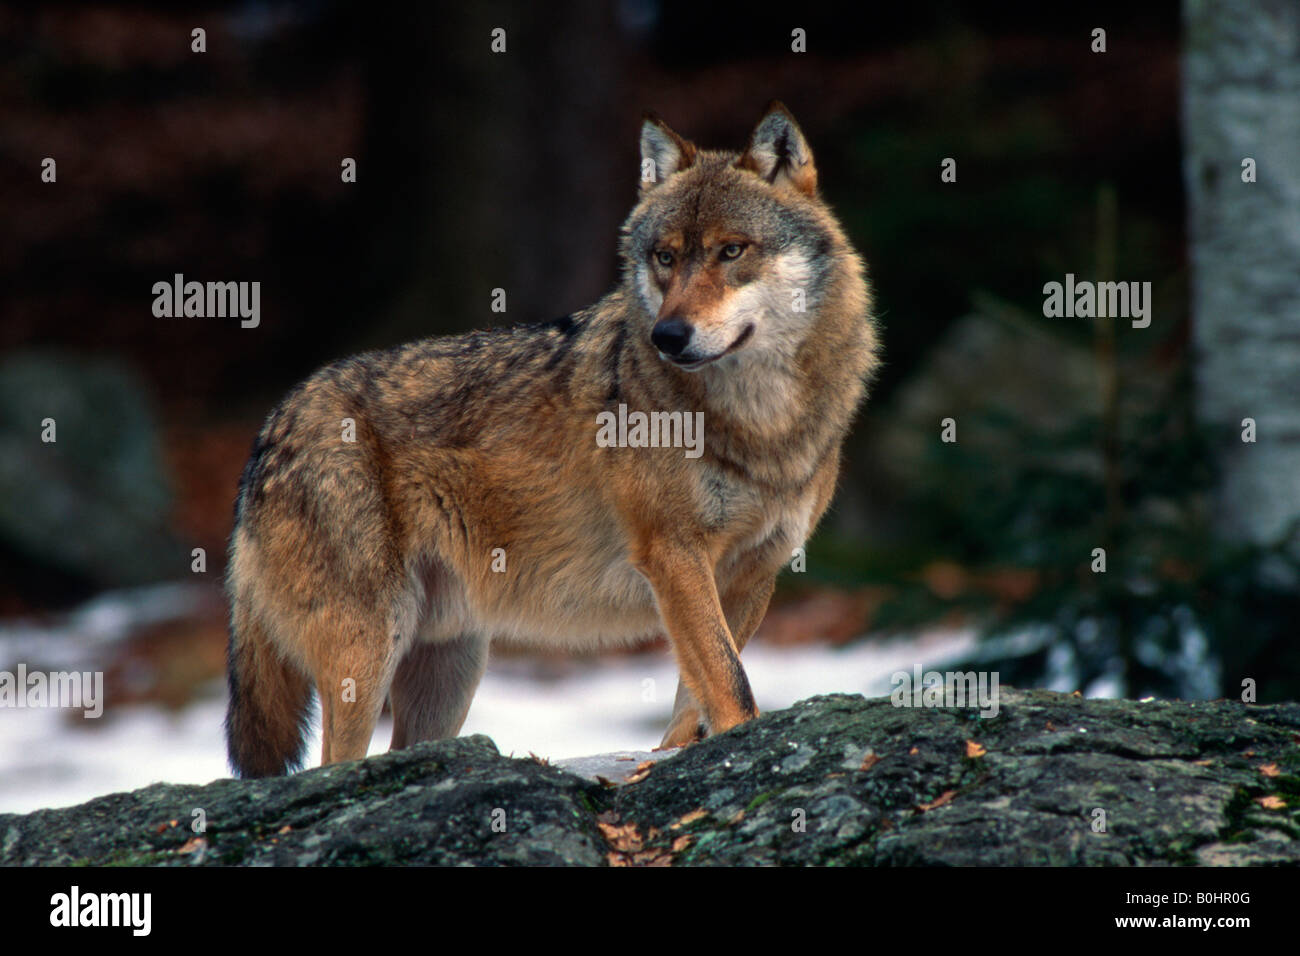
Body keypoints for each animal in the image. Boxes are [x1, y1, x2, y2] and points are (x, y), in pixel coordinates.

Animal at [224, 102, 880, 776]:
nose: (668, 336)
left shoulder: (753, 575)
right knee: (333, 762)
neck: (760, 422)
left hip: (451, 669)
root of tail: (272, 426)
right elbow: (729, 685)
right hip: (370, 649)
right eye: (665, 258)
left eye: (731, 251)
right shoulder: (674, 555)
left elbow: (698, 698)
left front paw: (669, 760)